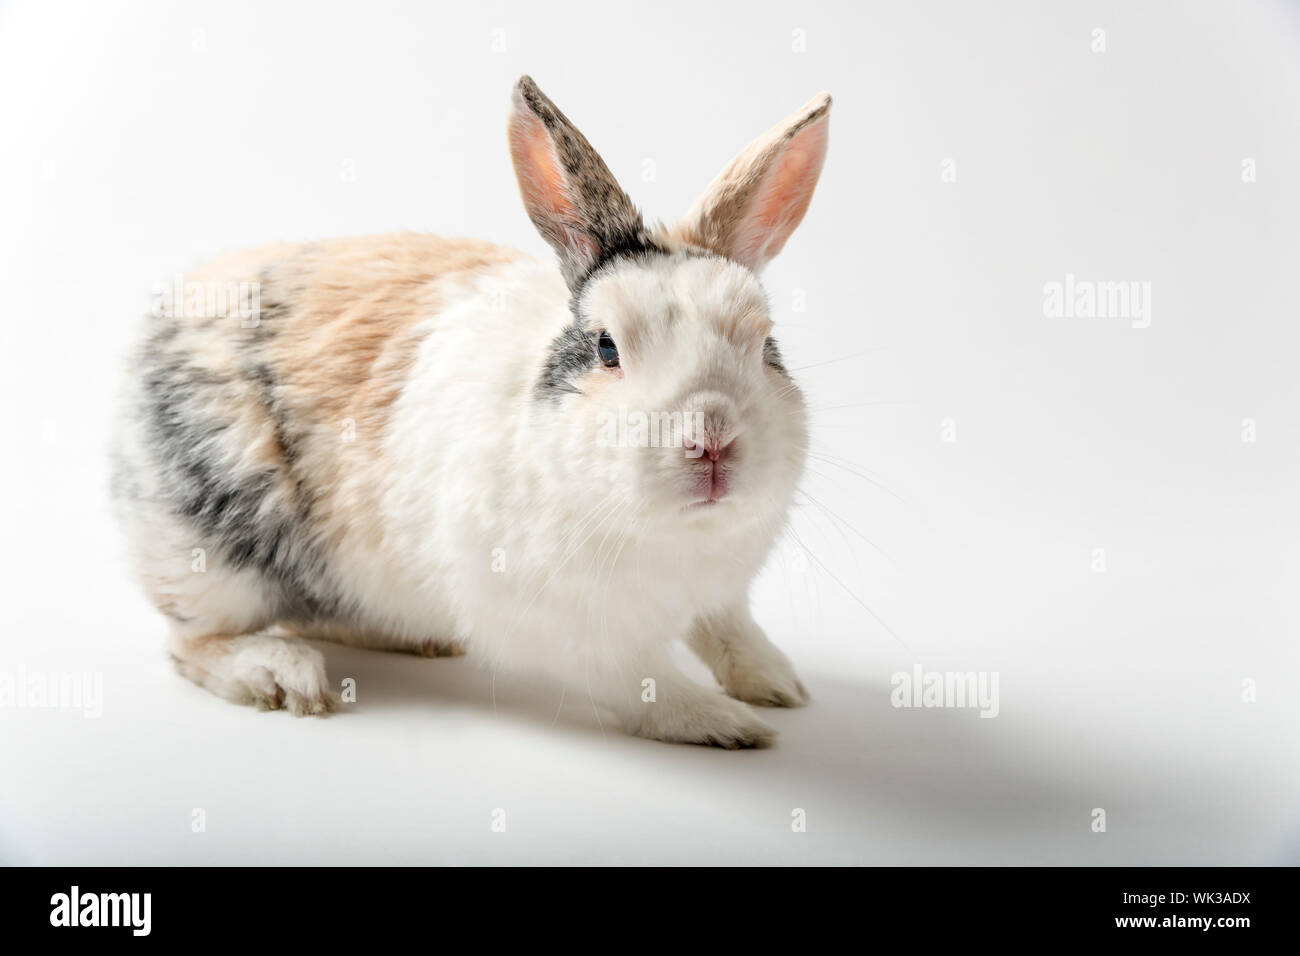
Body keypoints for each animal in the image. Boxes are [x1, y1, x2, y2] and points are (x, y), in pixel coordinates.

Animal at [111, 76, 831, 747]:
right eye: (607, 348)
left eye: (765, 344)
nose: (712, 441)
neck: (674, 532)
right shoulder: (570, 629)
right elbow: (639, 684)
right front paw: (722, 723)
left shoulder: (722, 595)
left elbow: (731, 630)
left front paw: (779, 685)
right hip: (214, 555)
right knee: (191, 643)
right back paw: (282, 674)